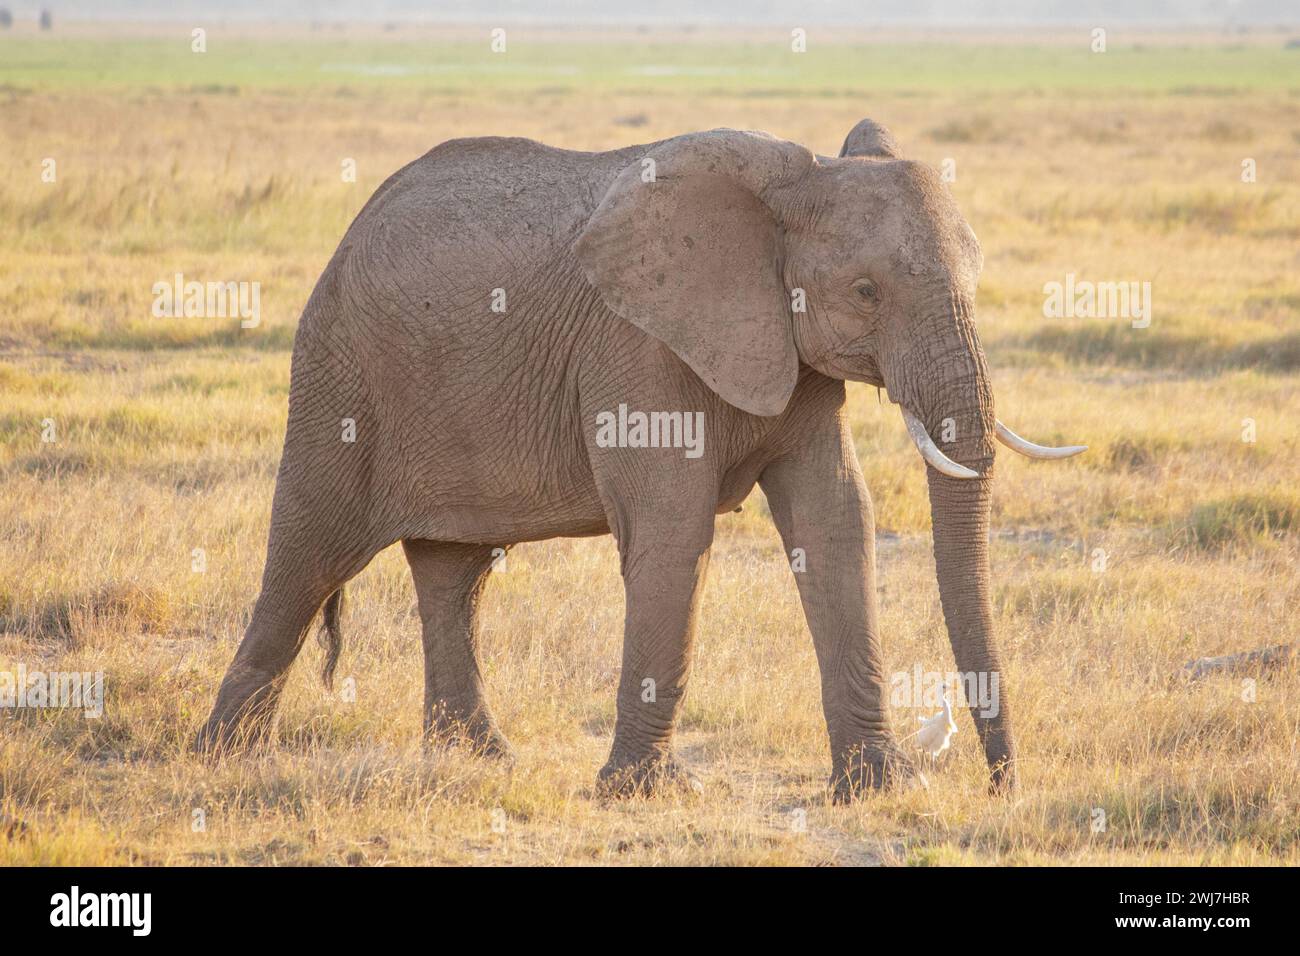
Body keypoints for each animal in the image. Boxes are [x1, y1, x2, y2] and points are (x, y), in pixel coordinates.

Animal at [196, 118, 1085, 800]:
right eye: (867, 293)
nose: (1001, 786)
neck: (788, 188)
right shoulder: (639, 346)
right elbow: (673, 531)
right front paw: (645, 792)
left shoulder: (789, 352)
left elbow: (836, 521)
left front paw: (878, 786)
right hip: (340, 372)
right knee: (309, 555)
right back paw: (220, 759)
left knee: (454, 570)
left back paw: (480, 761)